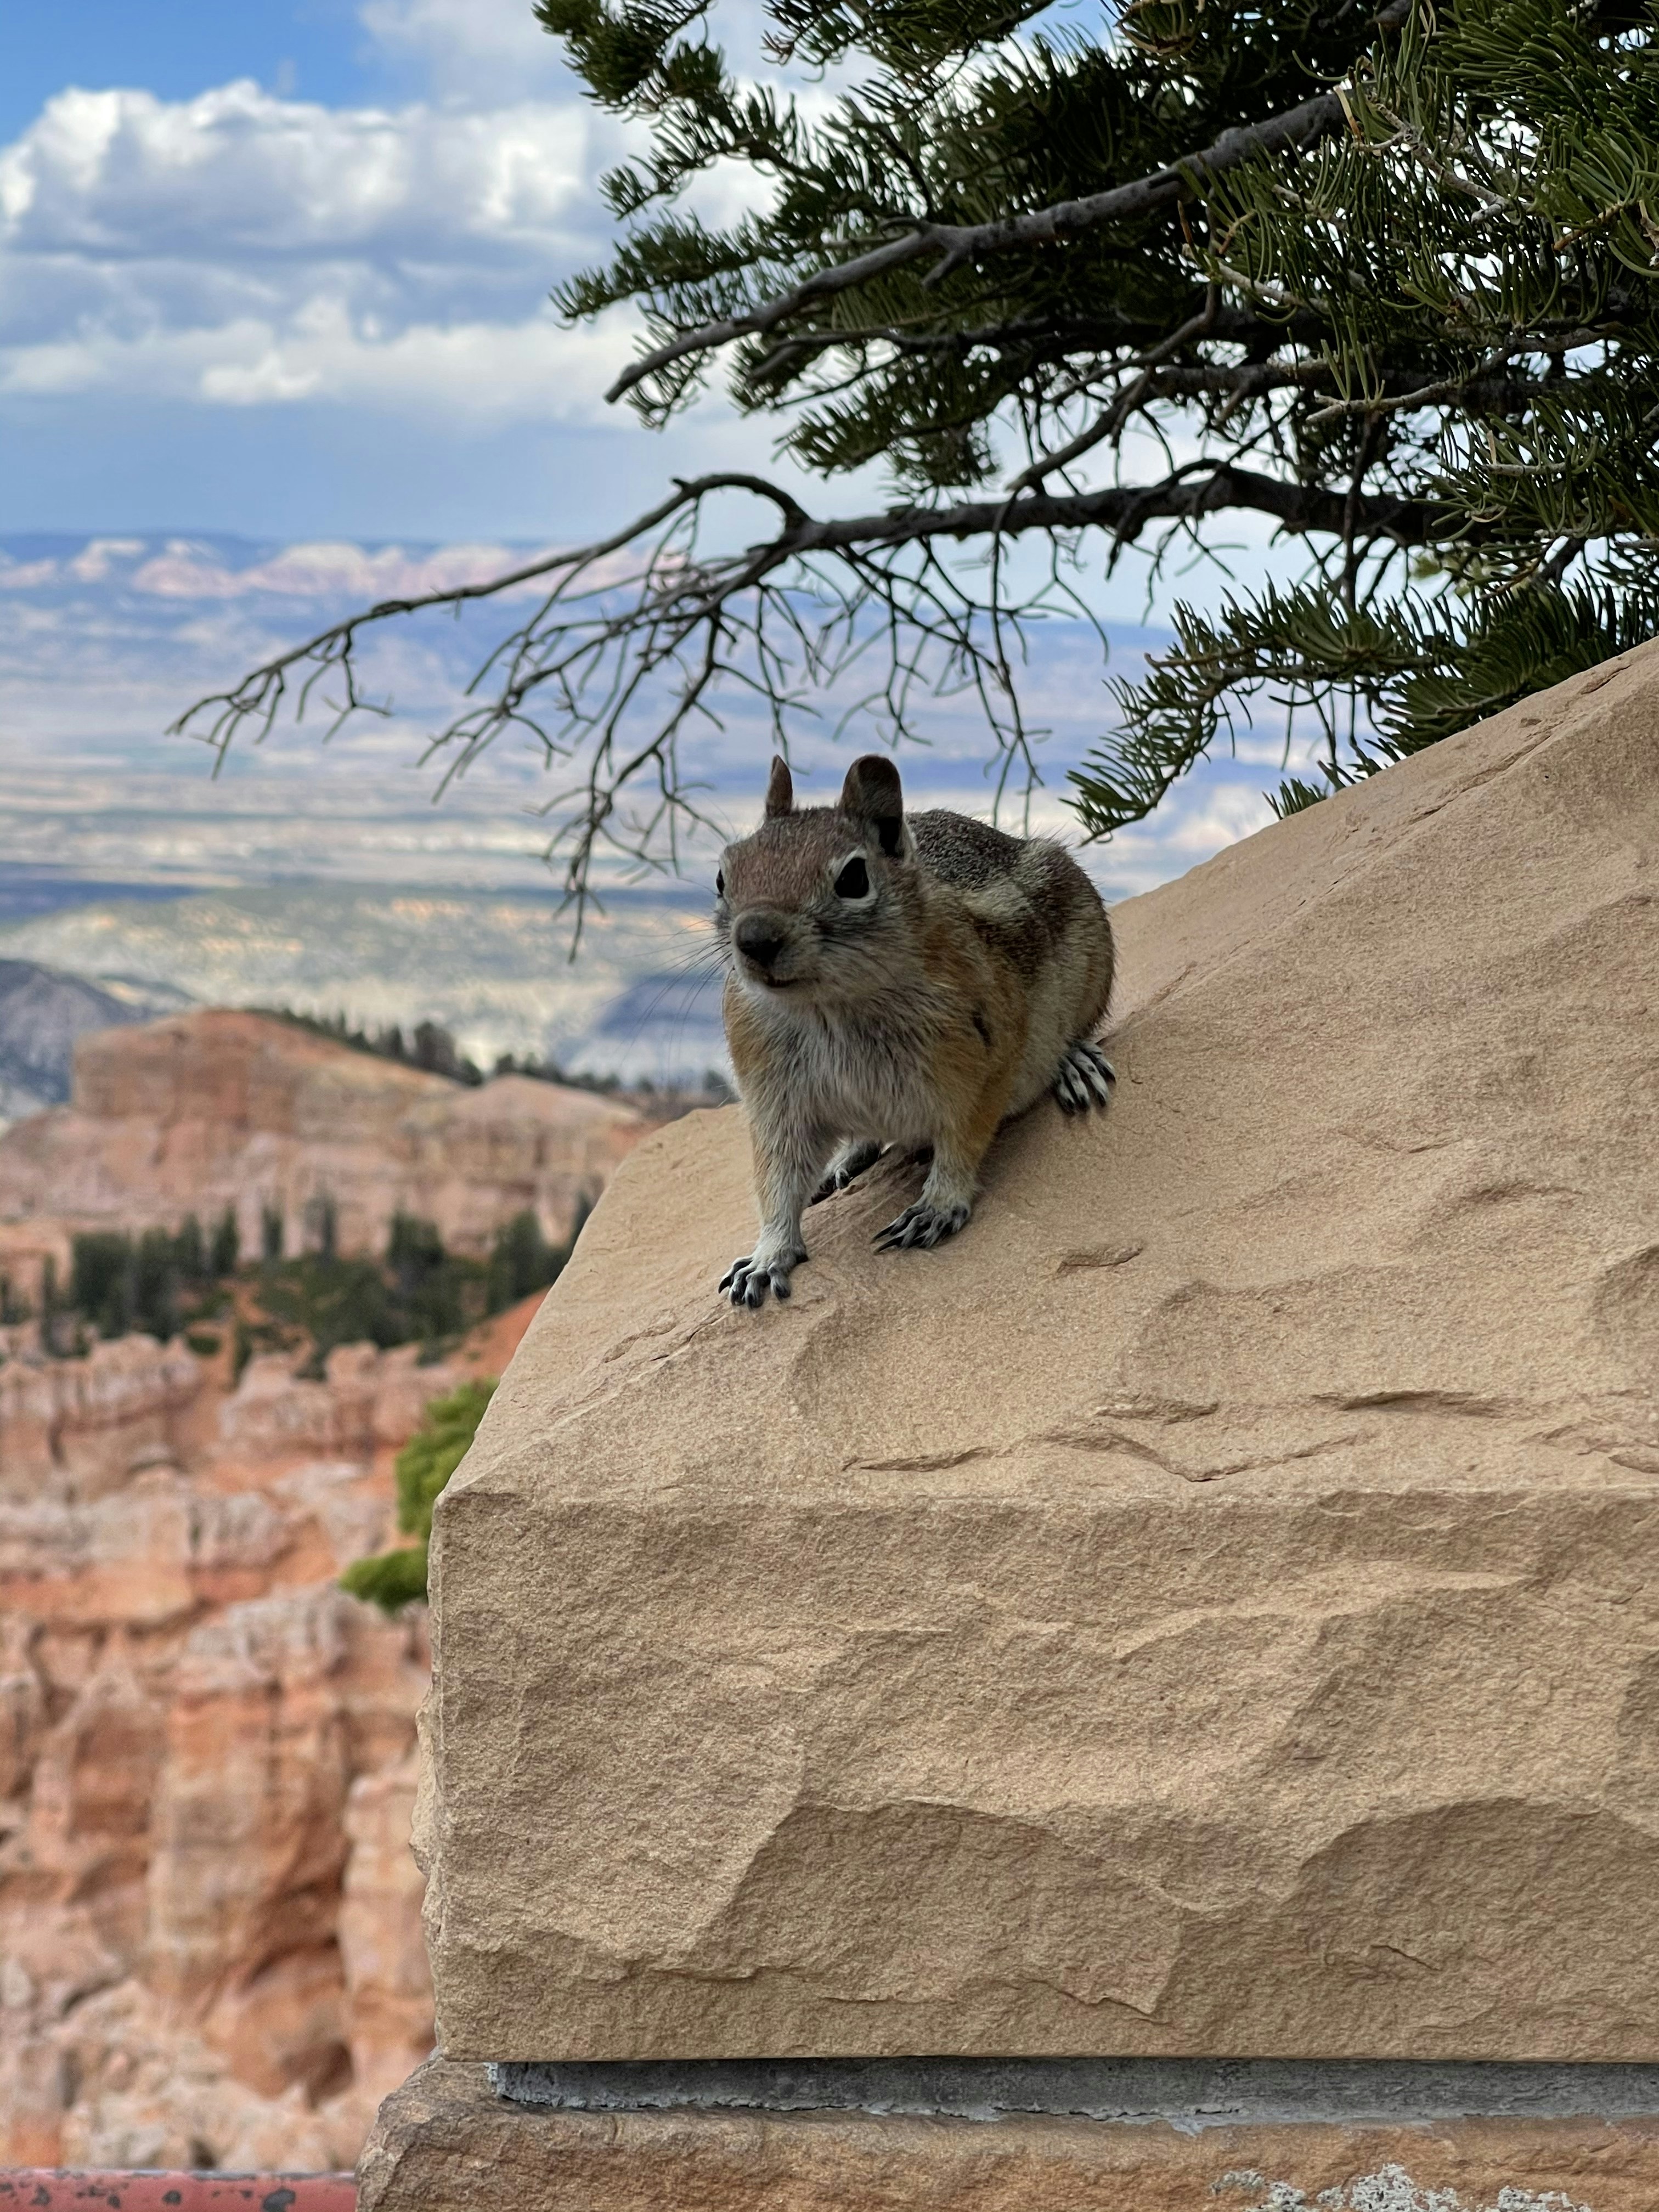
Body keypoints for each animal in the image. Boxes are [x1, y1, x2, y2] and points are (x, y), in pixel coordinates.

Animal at [714, 752, 1116, 1308]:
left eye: (854, 878)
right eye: (722, 875)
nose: (754, 938)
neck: (830, 1008)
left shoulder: (983, 1065)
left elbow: (962, 1140)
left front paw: (938, 1206)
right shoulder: (774, 1101)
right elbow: (776, 1182)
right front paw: (767, 1256)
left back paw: (1076, 1062)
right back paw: (844, 1163)